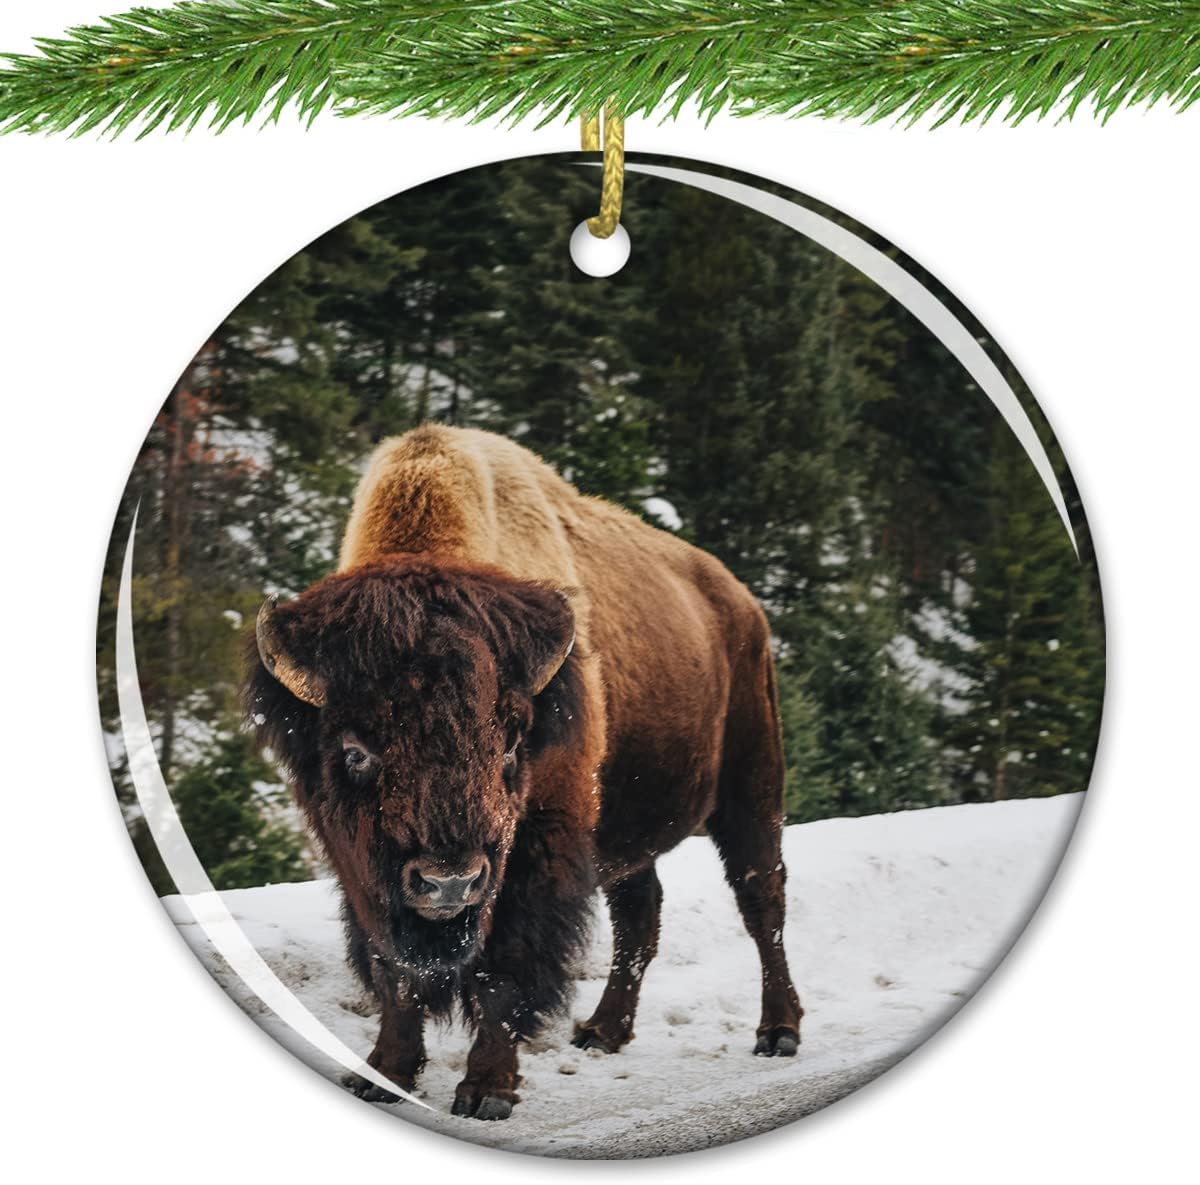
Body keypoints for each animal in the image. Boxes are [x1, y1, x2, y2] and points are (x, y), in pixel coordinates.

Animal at [246, 425, 802, 1120]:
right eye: (355, 751)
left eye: (512, 745)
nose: (450, 882)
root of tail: (741, 603)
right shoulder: (363, 873)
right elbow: (394, 972)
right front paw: (382, 1074)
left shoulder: (533, 857)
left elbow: (503, 972)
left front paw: (487, 1089)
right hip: (626, 829)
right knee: (640, 913)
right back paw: (603, 1031)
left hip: (752, 787)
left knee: (762, 899)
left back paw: (778, 1032)